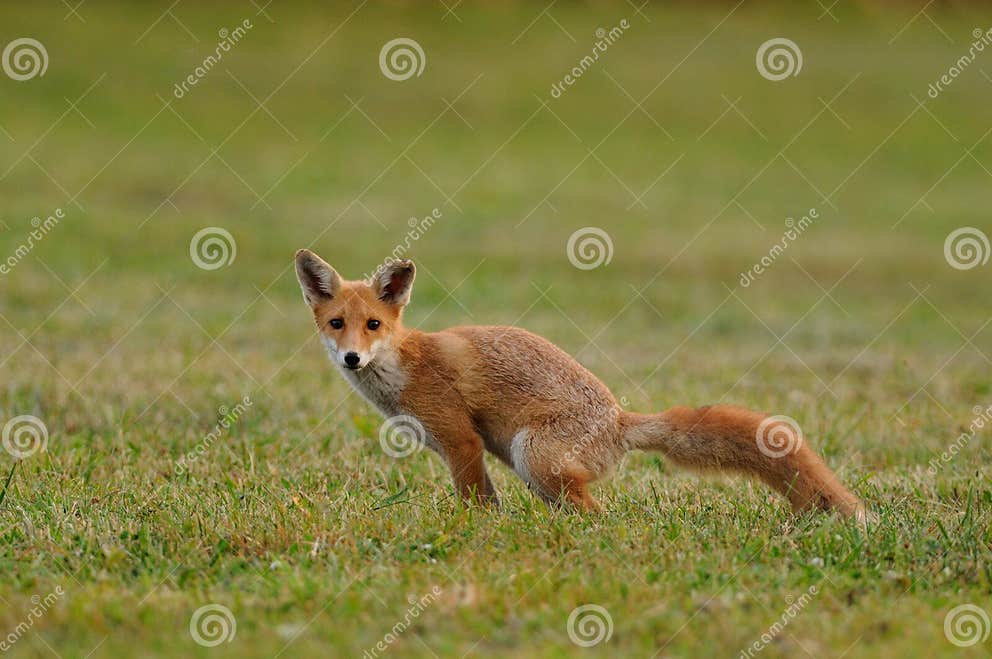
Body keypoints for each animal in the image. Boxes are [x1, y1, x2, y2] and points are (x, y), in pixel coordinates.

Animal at [294, 249, 865, 519]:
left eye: (373, 325)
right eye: (336, 323)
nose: (351, 357)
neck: (403, 366)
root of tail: (619, 419)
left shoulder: (461, 440)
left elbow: (477, 504)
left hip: (531, 454)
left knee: (598, 515)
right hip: (532, 469)